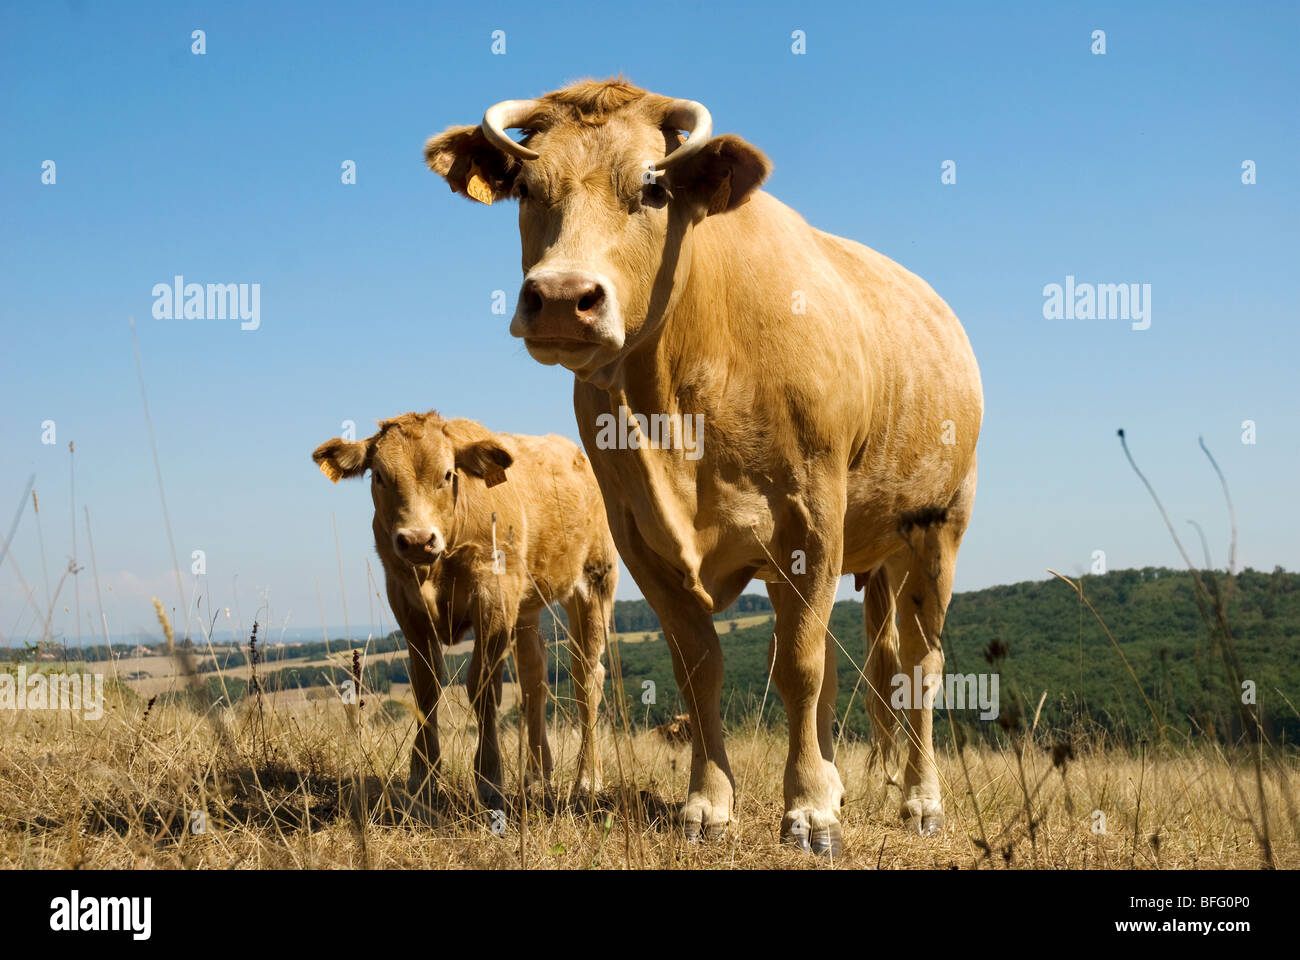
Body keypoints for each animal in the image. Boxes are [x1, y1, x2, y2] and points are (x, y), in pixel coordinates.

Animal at [312, 411, 617, 814]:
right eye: (379, 476)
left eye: (447, 474)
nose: (417, 540)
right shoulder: (404, 601)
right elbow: (426, 686)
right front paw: (423, 776)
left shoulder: (494, 596)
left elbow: (483, 684)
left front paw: (488, 779)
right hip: (527, 605)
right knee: (534, 675)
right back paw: (537, 775)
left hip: (595, 581)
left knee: (587, 676)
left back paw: (587, 778)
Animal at [424, 79, 982, 854]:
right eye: (529, 189)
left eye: (653, 188)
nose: (562, 297)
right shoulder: (641, 539)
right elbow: (703, 668)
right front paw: (711, 802)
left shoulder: (812, 518)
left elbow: (801, 667)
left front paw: (809, 811)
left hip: (938, 527)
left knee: (920, 665)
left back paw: (921, 799)